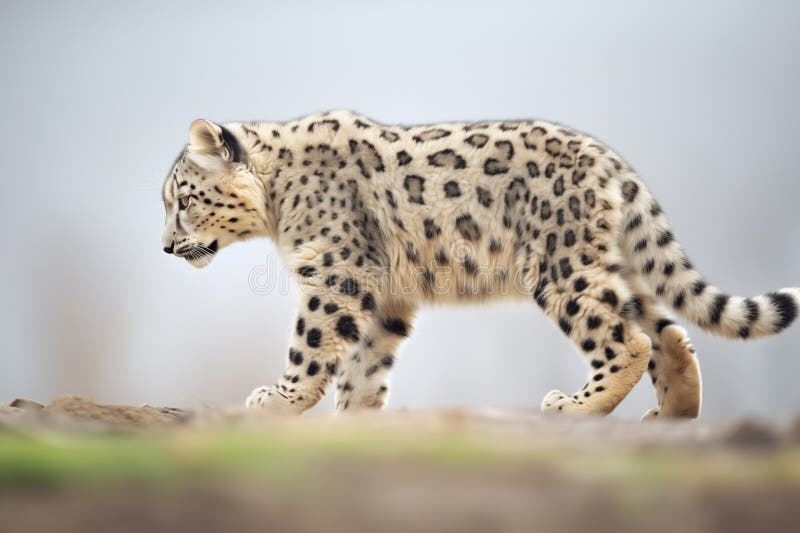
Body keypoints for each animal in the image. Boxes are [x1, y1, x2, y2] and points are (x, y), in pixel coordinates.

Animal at [161, 110, 799, 419]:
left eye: (183, 201)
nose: (165, 248)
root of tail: (610, 160)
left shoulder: (338, 270)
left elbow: (313, 341)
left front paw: (278, 399)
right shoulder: (387, 296)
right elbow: (366, 363)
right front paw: (355, 414)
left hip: (560, 268)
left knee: (629, 338)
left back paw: (573, 406)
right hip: (608, 266)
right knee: (666, 330)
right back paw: (671, 416)